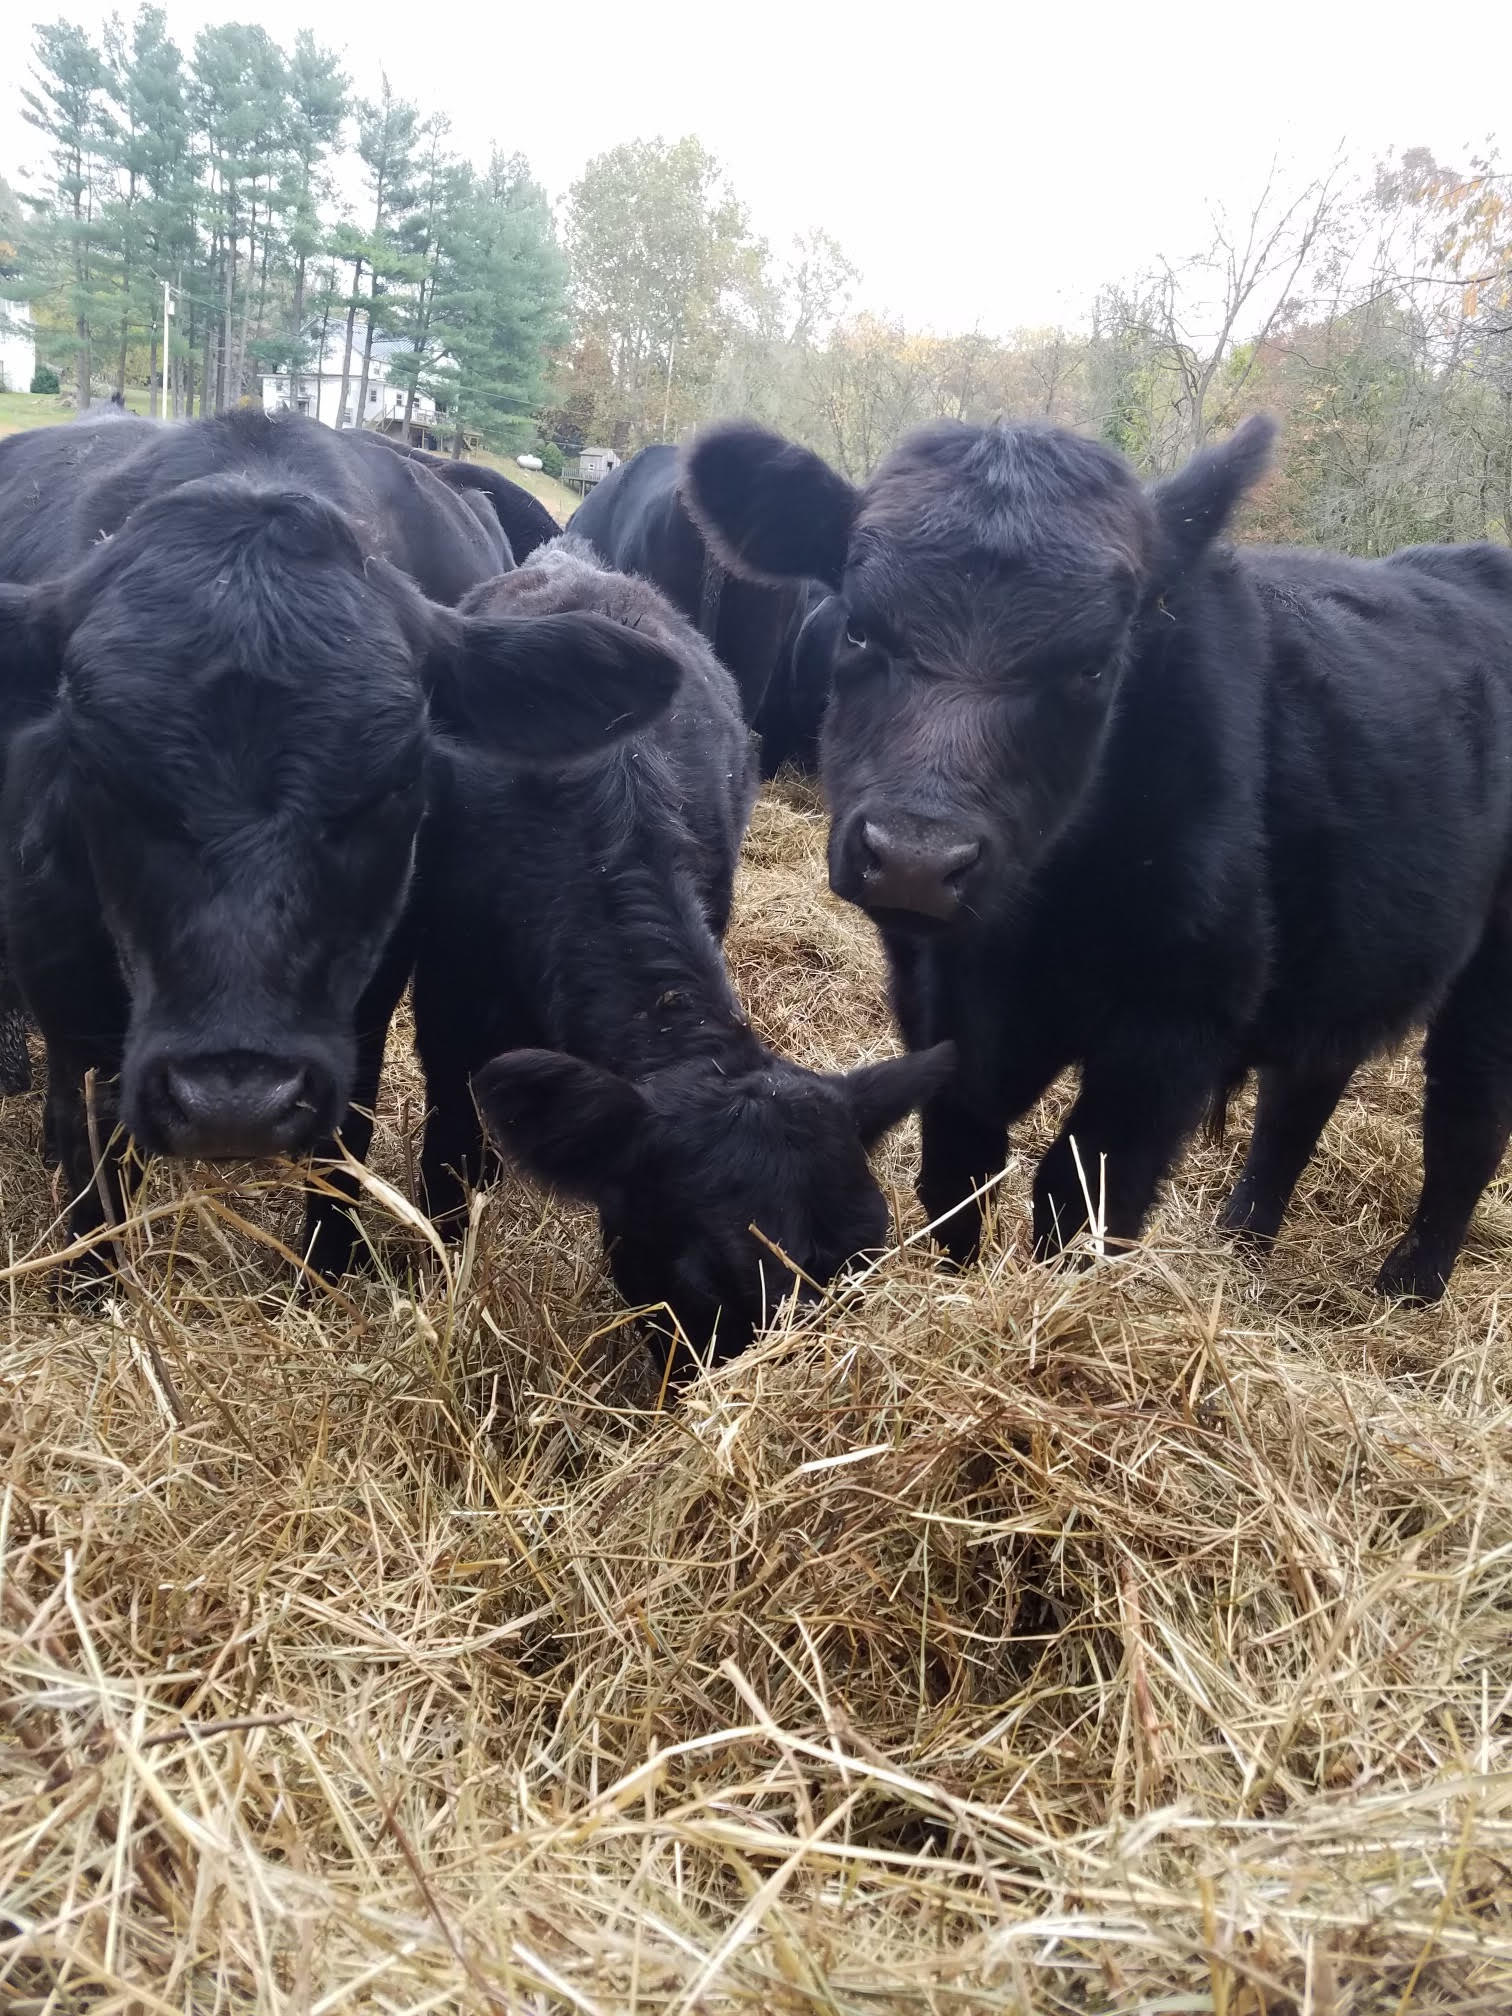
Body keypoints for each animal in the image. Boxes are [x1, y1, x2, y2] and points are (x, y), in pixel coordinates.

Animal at [0, 409, 680, 1277]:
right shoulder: (58, 977)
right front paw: (90, 1281)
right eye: (95, 767)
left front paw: (324, 1270)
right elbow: (91, 1148)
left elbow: (342, 1141)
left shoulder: (366, 994)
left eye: (398, 780)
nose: (233, 1103)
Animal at [682, 413, 1512, 1304]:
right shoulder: (934, 1002)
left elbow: (1082, 1193)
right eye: (859, 627)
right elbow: (958, 1173)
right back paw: (1242, 1240)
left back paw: (1412, 1282)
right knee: (1303, 1094)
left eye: (1094, 666)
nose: (916, 860)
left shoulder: (1173, 1025)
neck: (1016, 945)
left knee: (1466, 1117)